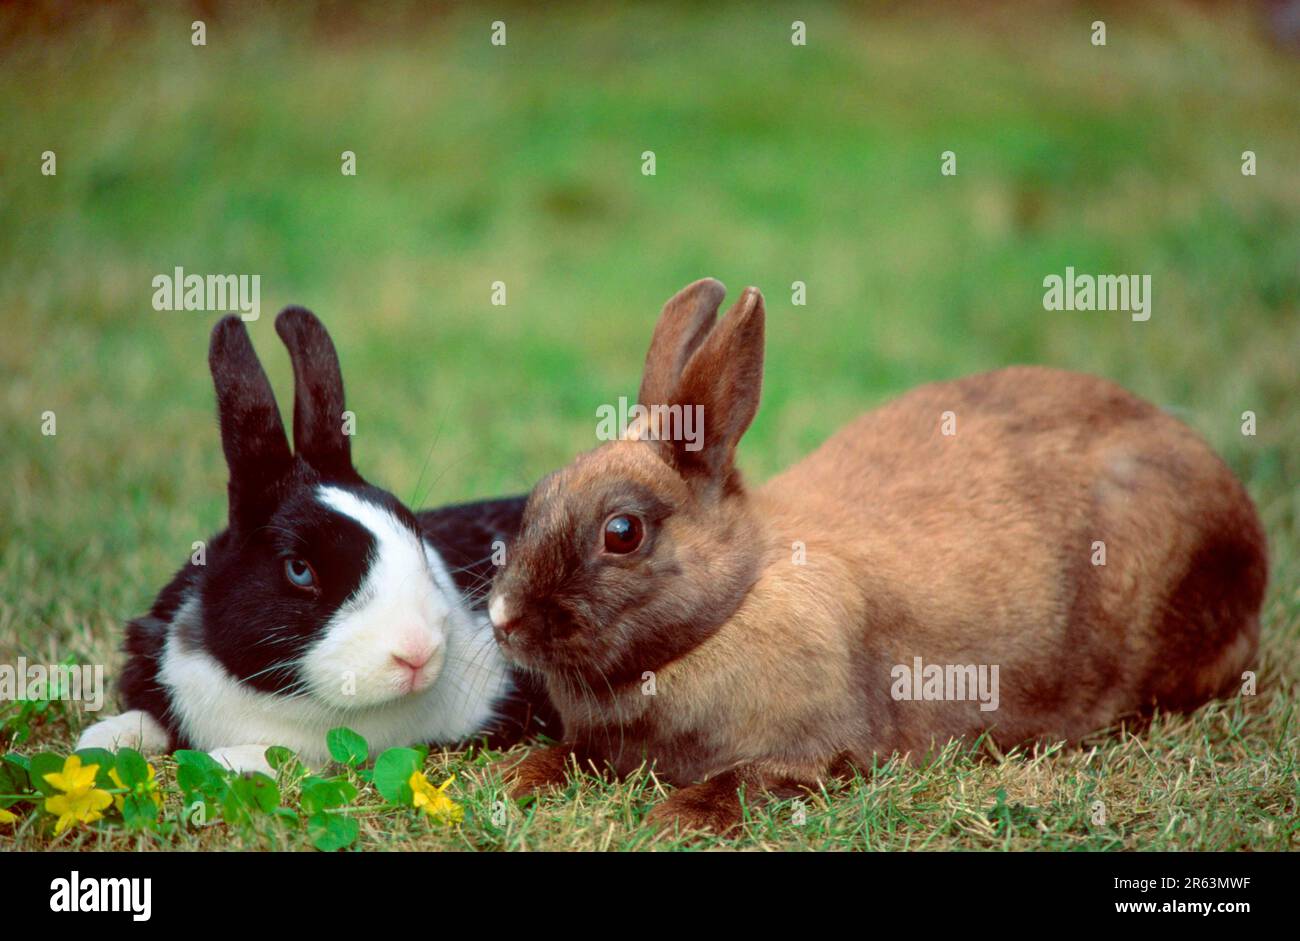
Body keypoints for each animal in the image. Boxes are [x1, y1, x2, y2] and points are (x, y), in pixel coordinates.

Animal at [77, 307, 558, 774]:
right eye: (299, 570)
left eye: (417, 537)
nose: (418, 653)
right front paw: (99, 742)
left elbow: (274, 755)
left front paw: (227, 760)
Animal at [485, 278, 1268, 833]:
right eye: (541, 492)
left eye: (622, 532)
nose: (503, 619)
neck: (732, 605)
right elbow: (567, 755)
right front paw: (515, 779)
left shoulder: (822, 751)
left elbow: (753, 779)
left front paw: (677, 818)